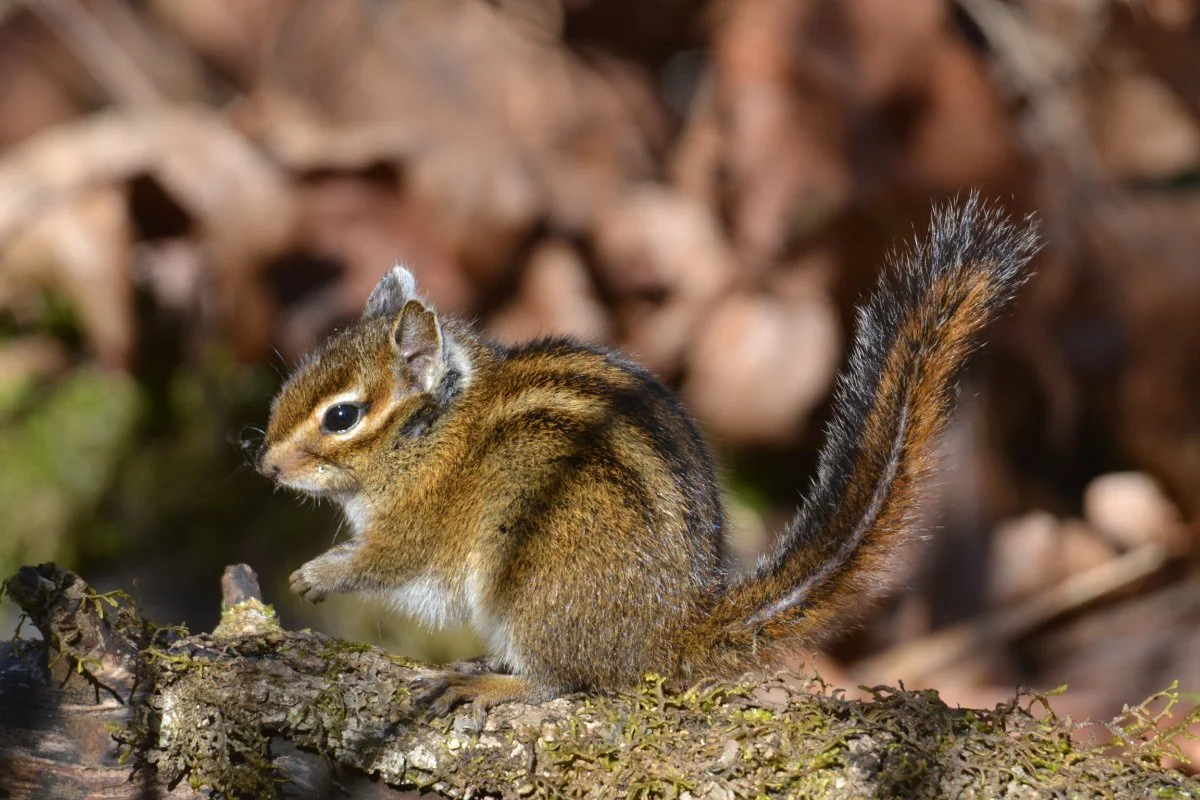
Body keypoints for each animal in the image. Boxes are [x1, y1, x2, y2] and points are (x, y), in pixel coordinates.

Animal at [258, 195, 1039, 715]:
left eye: (342, 416)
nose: (266, 466)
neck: (434, 434)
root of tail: (670, 631)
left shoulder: (420, 521)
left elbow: (385, 560)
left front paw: (317, 574)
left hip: (532, 583)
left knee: (560, 680)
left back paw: (486, 679)